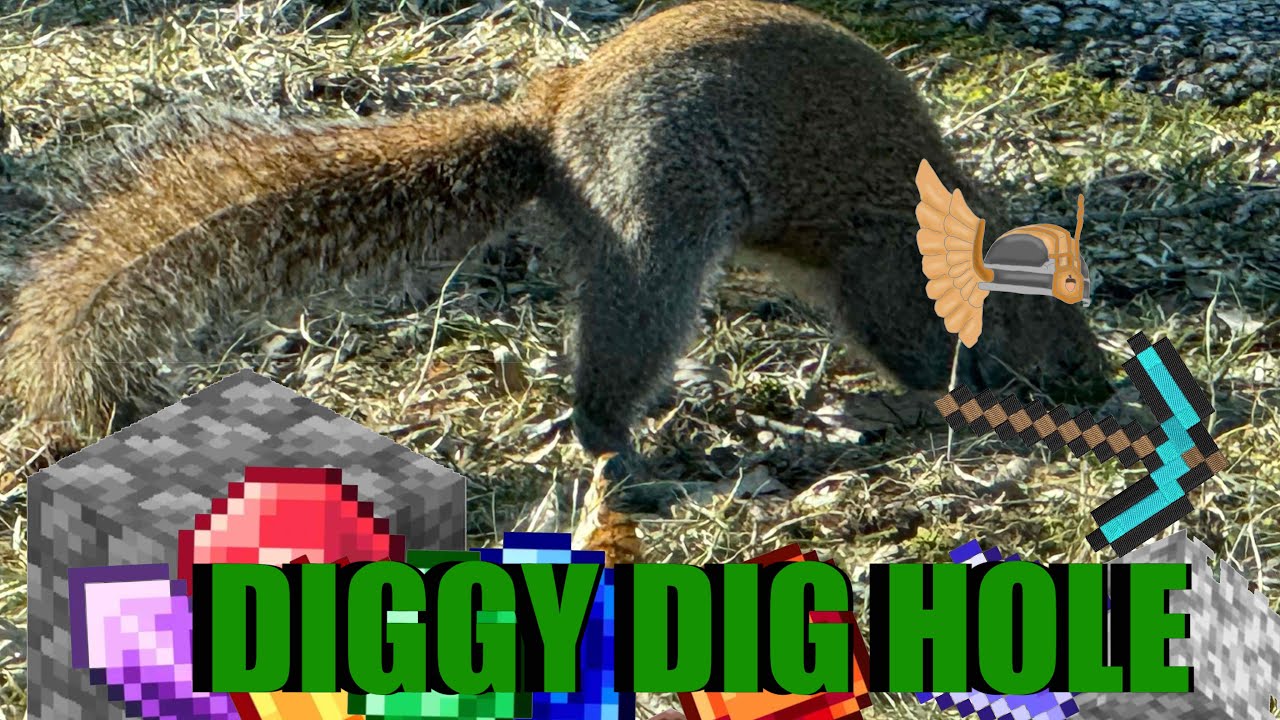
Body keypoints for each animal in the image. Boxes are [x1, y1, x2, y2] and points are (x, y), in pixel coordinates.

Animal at [0, 0, 1109, 507]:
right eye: (1060, 312)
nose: (1096, 383)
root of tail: (552, 119)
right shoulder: (883, 265)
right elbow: (914, 346)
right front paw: (956, 395)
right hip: (655, 226)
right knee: (616, 361)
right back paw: (620, 451)